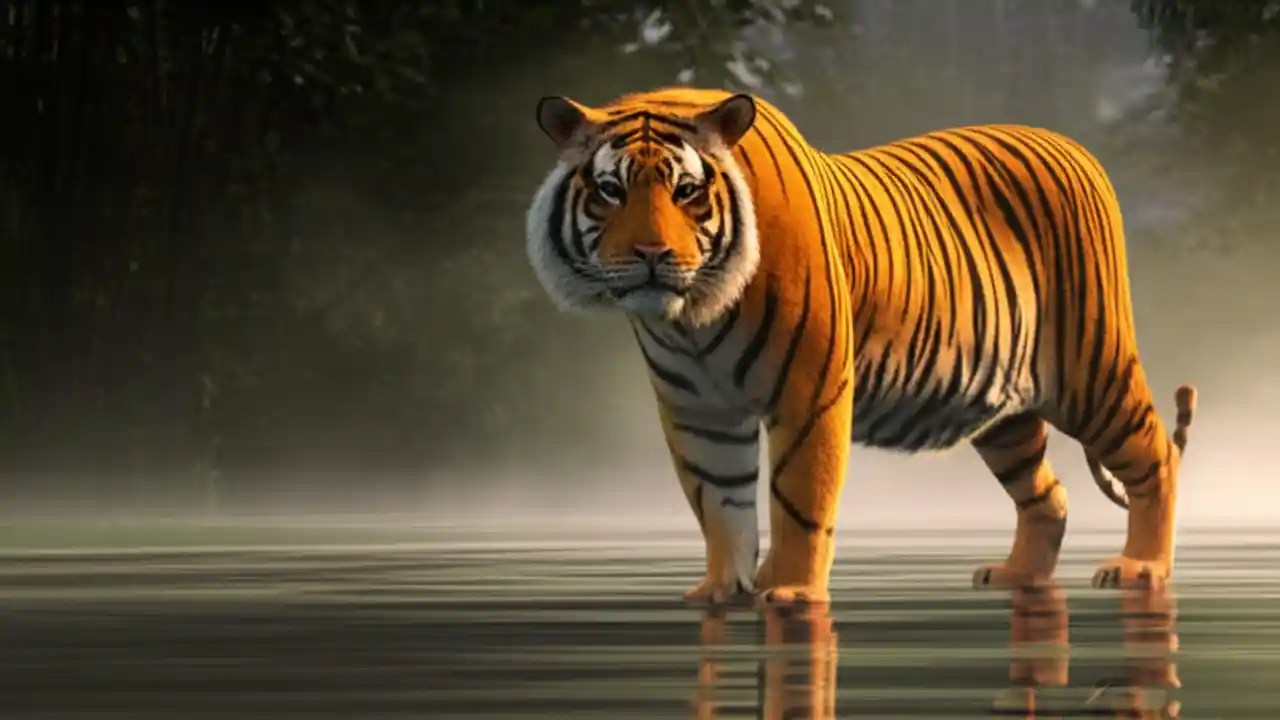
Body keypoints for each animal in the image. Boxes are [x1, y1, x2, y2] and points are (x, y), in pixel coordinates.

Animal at [524, 86, 1197, 606]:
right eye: (610, 191)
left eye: (687, 191)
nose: (653, 255)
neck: (690, 321)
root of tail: (1075, 147)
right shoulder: (697, 411)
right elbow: (718, 502)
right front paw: (722, 589)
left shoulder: (809, 394)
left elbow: (798, 500)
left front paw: (791, 591)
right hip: (1001, 409)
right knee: (1047, 494)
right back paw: (1015, 576)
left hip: (1090, 368)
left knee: (1155, 454)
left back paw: (1140, 569)